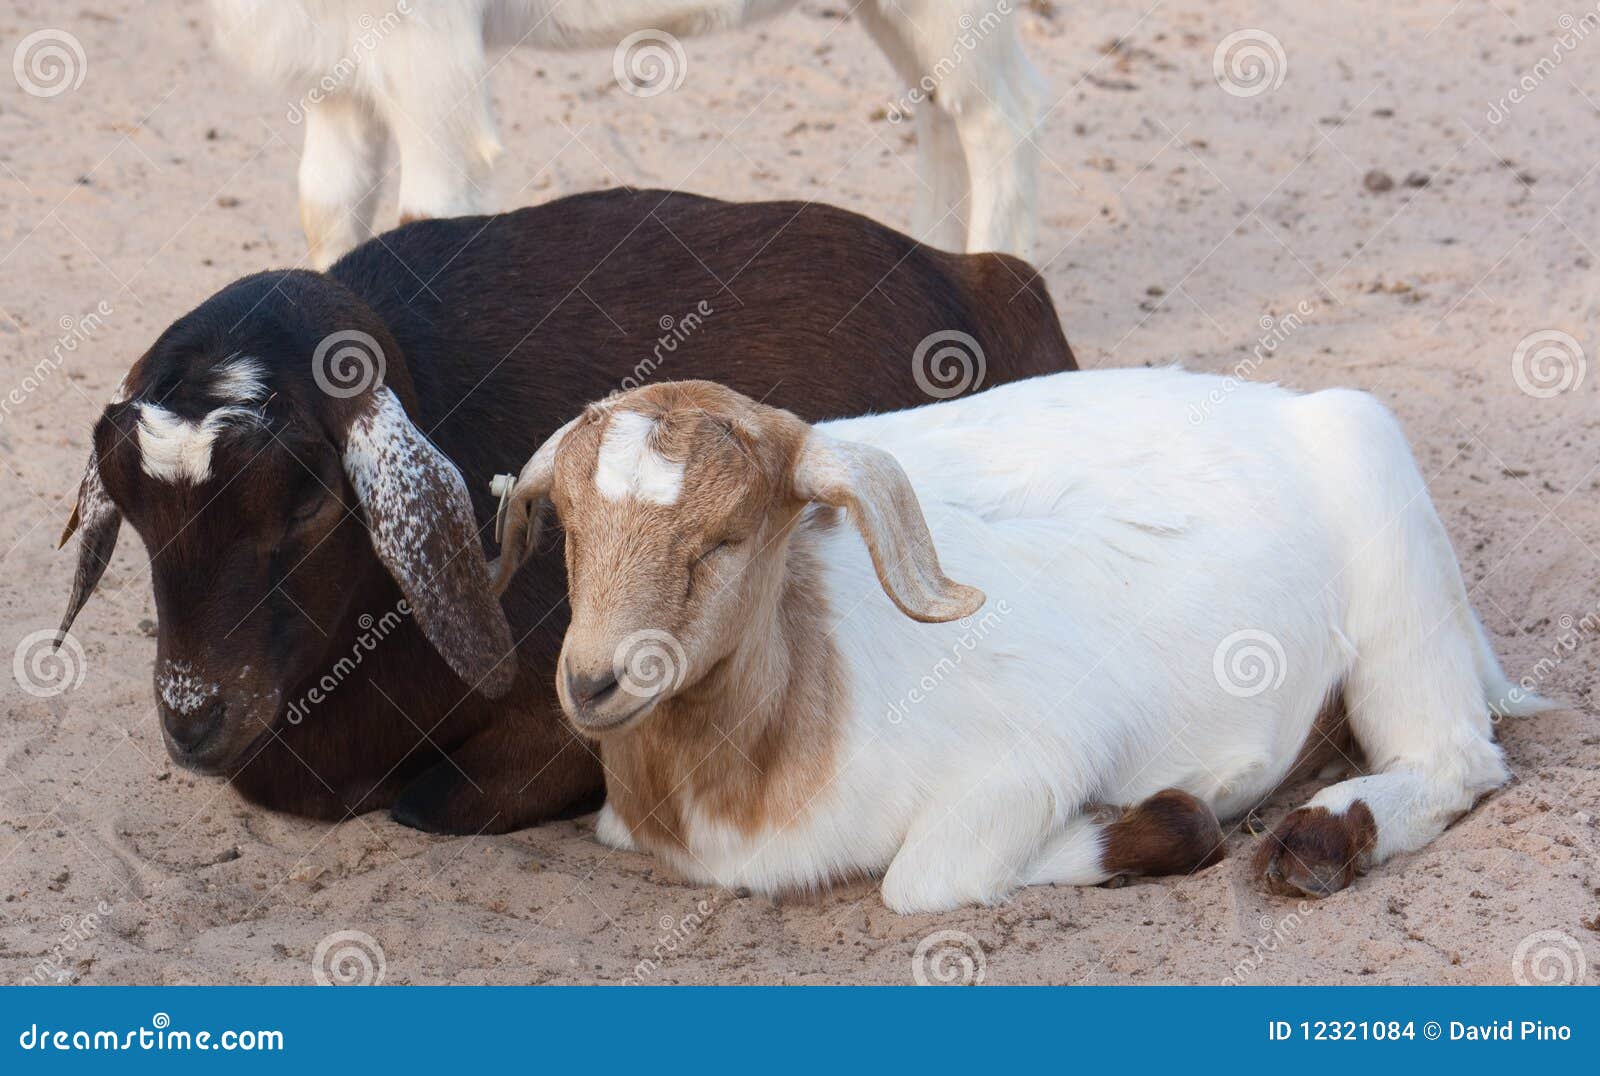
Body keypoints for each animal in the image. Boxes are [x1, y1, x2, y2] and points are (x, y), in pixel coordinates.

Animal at [207, 0, 1043, 269]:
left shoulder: (429, 55)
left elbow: (428, 218)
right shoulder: (337, 69)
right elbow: (328, 207)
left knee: (1005, 117)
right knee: (941, 111)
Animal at [493, 370, 1550, 912]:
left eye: (726, 538)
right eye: (572, 532)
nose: (593, 683)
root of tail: (1298, 407)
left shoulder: (1031, 758)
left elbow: (920, 882)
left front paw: (1166, 814)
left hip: (1397, 582)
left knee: (1454, 759)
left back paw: (1317, 841)